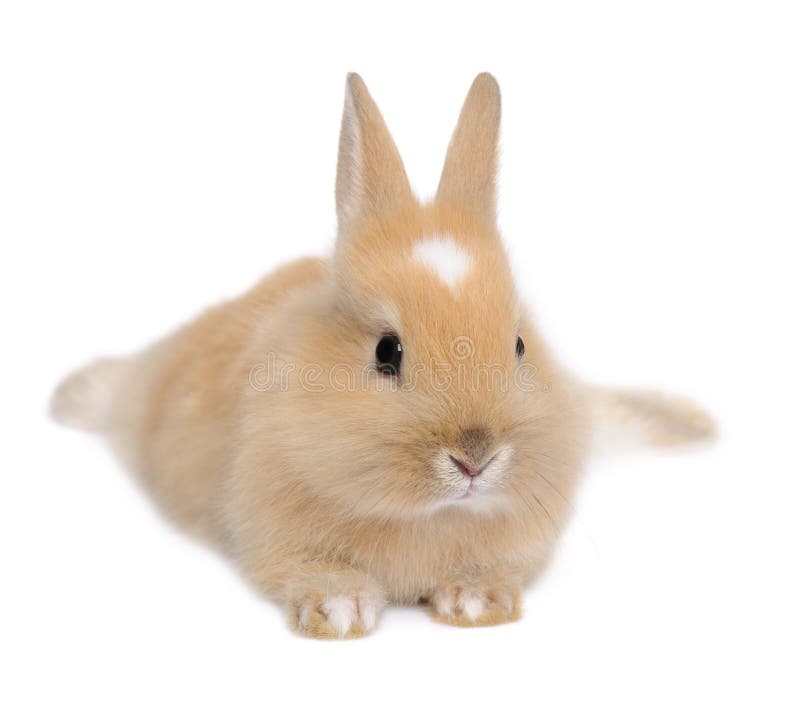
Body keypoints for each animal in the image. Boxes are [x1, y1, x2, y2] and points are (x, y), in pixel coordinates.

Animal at [51, 73, 714, 638]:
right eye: (386, 351)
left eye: (519, 344)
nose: (475, 458)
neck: (426, 516)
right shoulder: (274, 535)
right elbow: (309, 570)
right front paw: (341, 611)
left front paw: (476, 602)